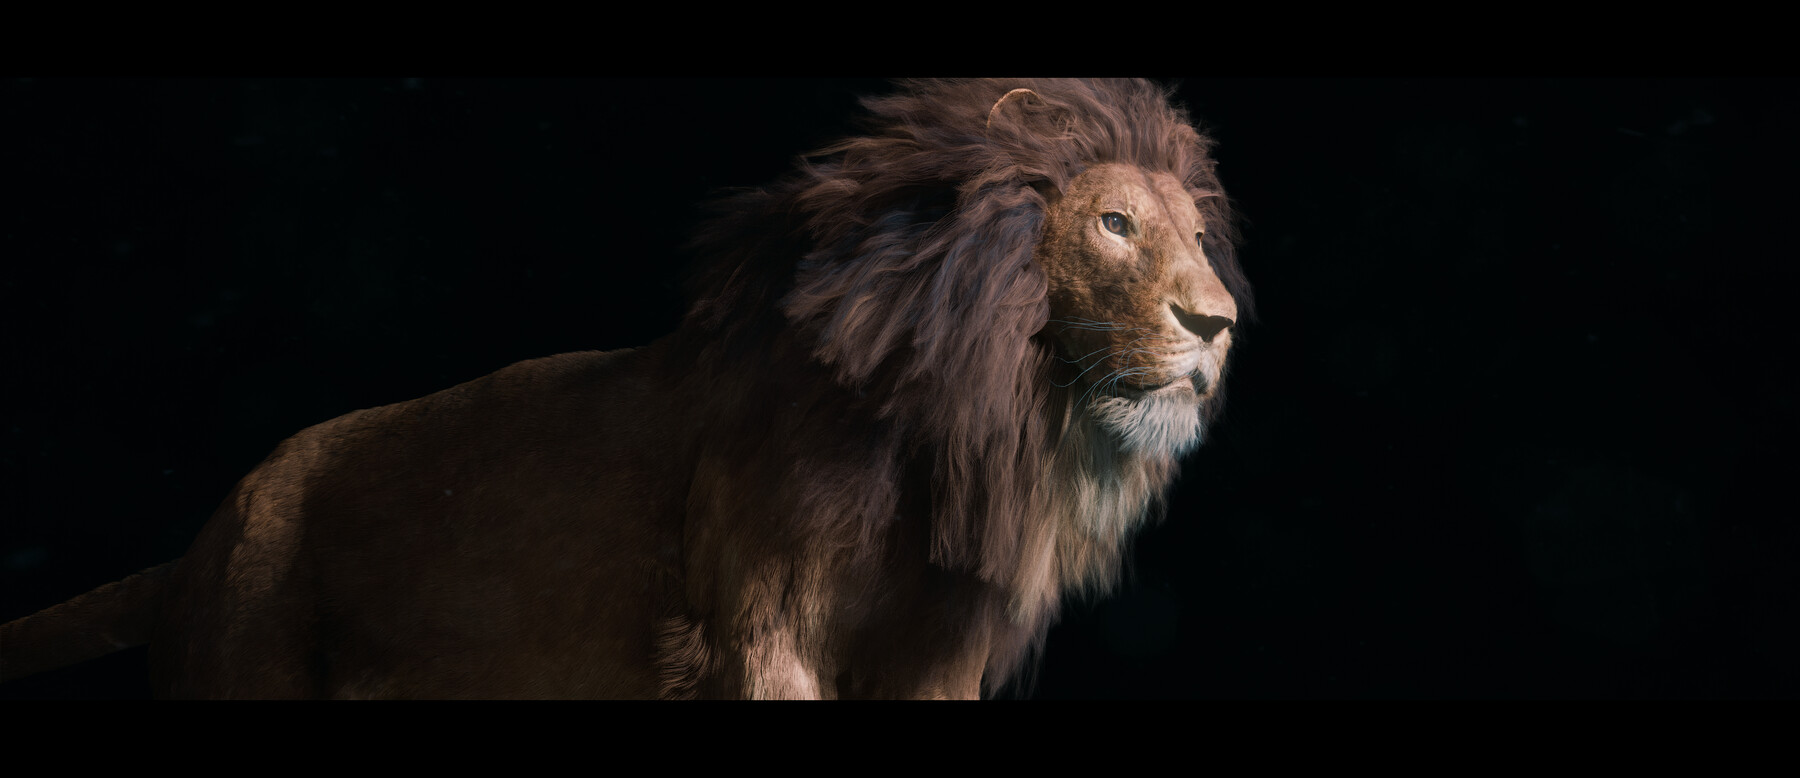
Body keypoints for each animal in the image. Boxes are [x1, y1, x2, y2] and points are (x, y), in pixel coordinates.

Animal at [0, 78, 1252, 698]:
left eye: (1200, 238)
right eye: (1114, 223)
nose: (1218, 324)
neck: (959, 423)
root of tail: (209, 536)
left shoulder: (931, 658)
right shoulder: (759, 633)